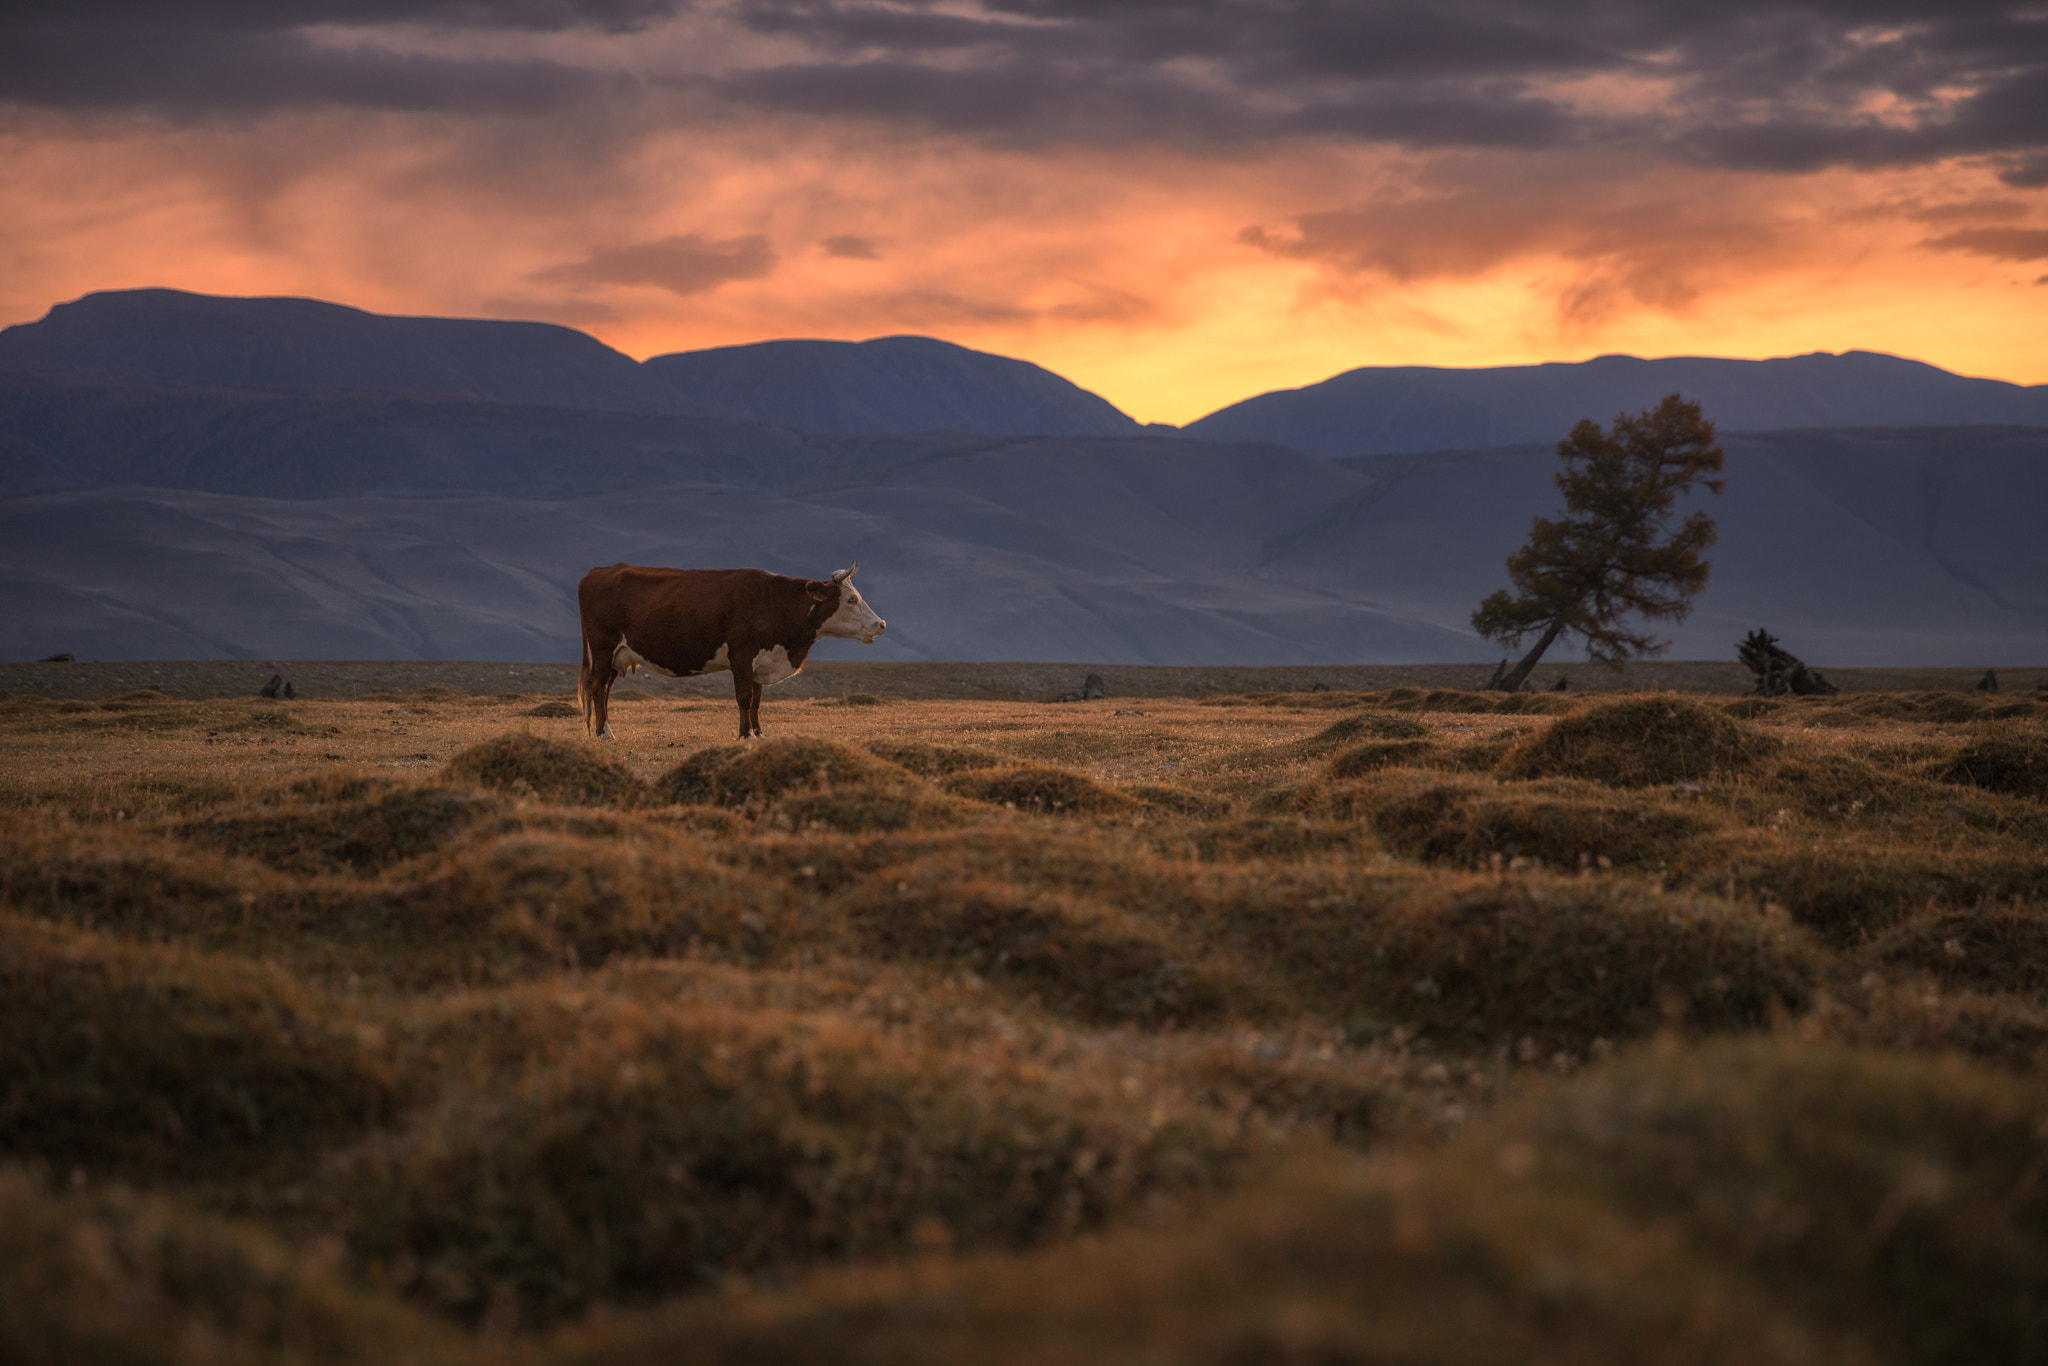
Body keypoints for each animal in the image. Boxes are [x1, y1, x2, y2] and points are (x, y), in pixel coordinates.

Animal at [577, 561, 886, 741]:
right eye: (851, 599)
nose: (880, 624)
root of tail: (596, 571)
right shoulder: (741, 656)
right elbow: (744, 698)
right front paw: (745, 734)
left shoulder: (761, 661)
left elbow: (757, 701)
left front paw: (759, 733)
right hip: (603, 648)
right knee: (597, 687)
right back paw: (604, 733)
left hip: (618, 654)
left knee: (605, 689)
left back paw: (604, 729)